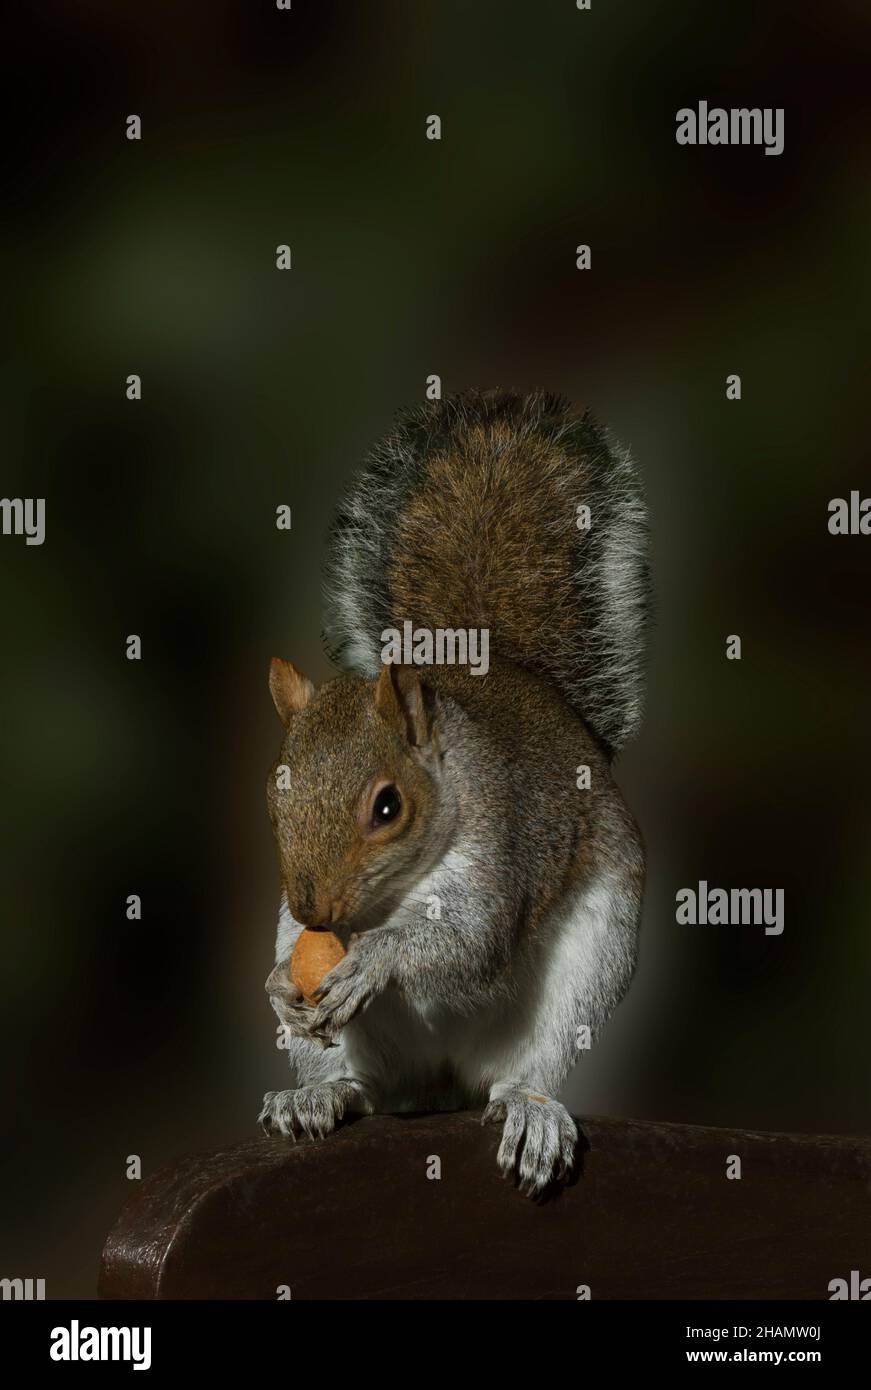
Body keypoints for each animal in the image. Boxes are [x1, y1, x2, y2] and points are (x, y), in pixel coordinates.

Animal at [259, 389, 648, 1194]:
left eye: (387, 807)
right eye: (272, 801)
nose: (315, 912)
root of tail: (438, 1076)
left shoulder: (502, 842)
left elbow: (471, 942)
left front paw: (377, 958)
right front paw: (280, 982)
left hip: (580, 979)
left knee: (525, 1068)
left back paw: (531, 1109)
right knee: (365, 1087)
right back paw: (318, 1093)